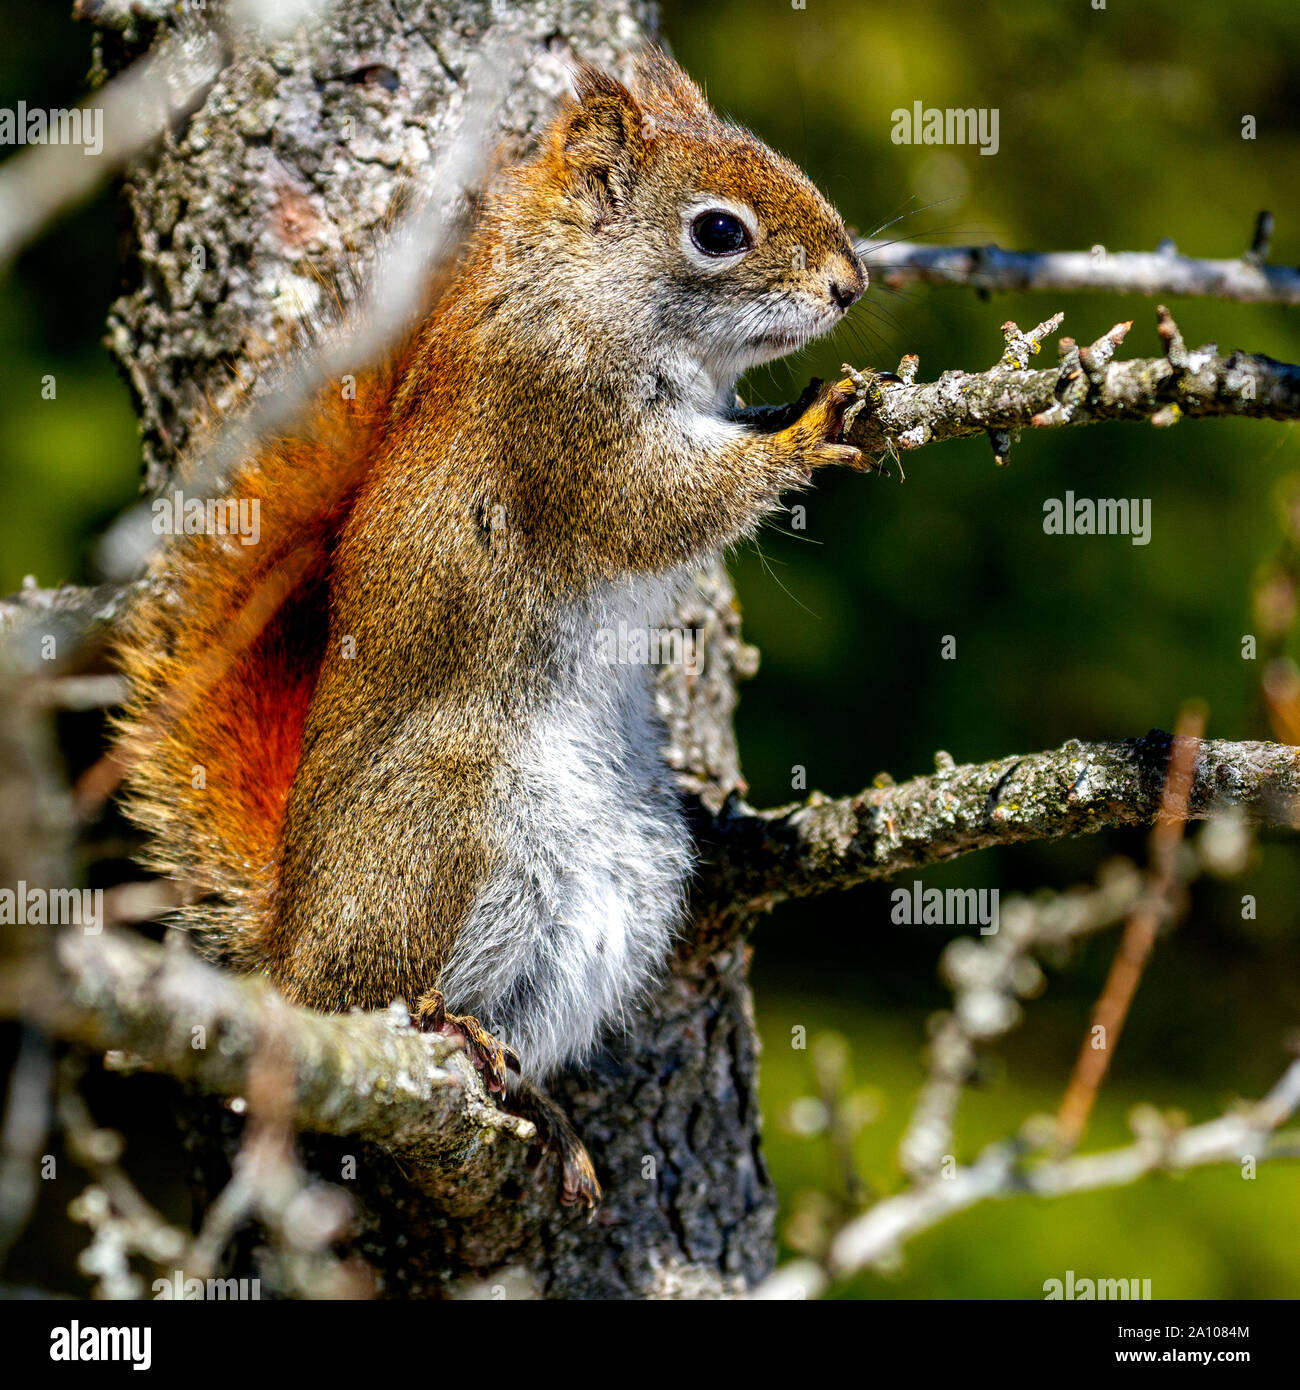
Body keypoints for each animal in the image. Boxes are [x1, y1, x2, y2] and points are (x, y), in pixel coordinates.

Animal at [114, 47, 869, 1211]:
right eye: (718, 231)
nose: (850, 283)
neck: (580, 288)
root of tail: (284, 954)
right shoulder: (561, 423)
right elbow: (662, 506)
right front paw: (803, 432)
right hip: (446, 830)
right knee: (376, 995)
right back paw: (438, 1033)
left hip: (608, 896)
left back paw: (536, 1106)